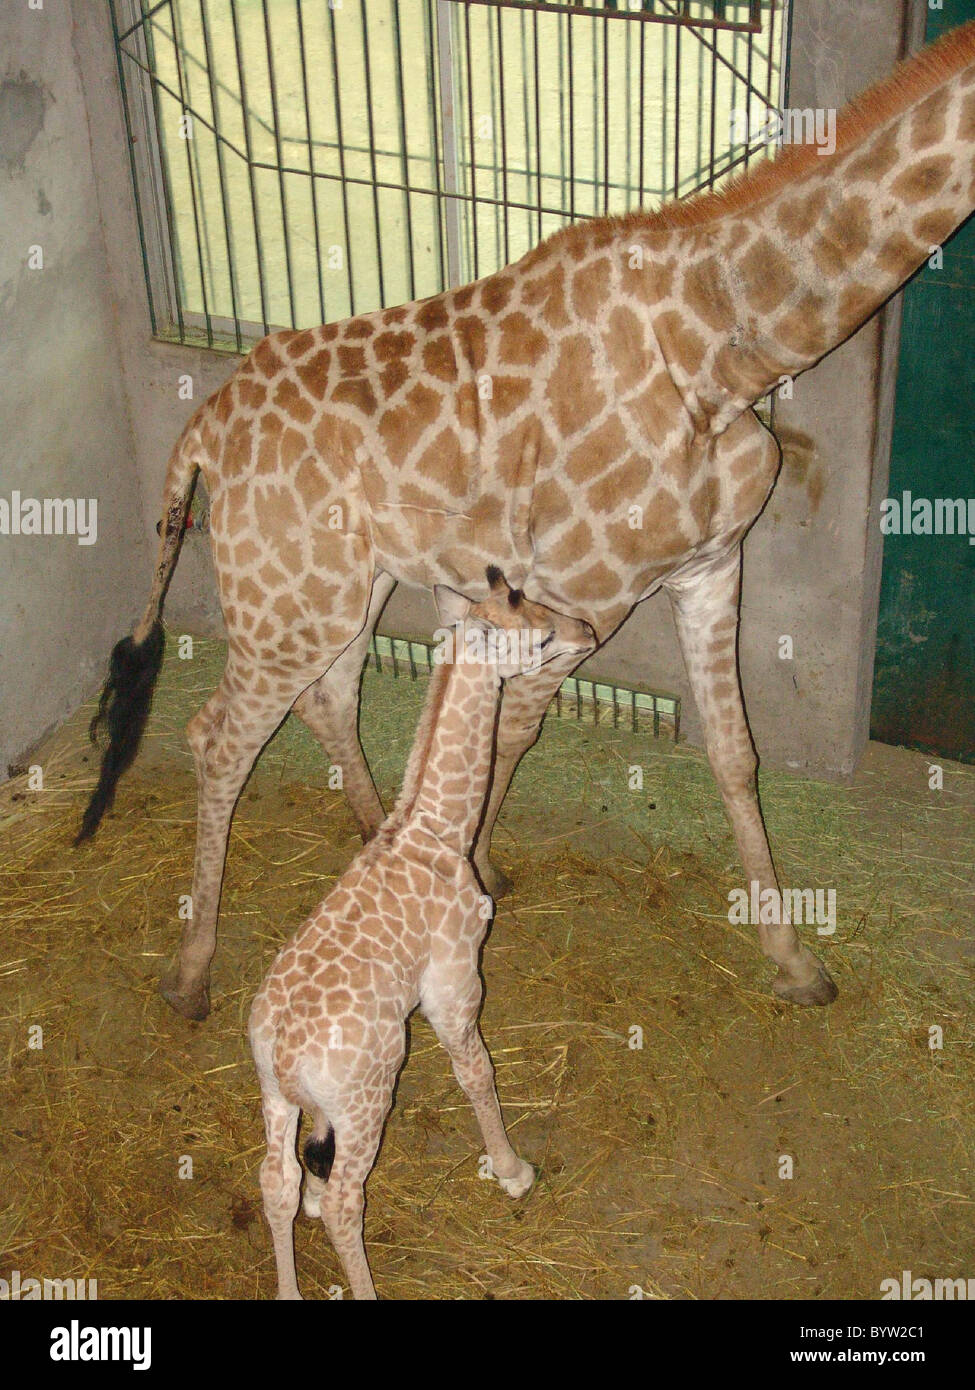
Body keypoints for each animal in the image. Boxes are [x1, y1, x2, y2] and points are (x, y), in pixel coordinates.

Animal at [77, 23, 975, 1021]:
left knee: (329, 696)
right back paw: (191, 973)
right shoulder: (585, 594)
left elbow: (735, 755)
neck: (719, 349)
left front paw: (794, 961)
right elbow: (510, 736)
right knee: (220, 737)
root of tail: (201, 430)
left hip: (342, 588)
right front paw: (475, 872)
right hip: (285, 597)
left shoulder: (708, 568)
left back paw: (369, 839)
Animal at [249, 569, 596, 1300]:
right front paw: (512, 1171)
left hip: (272, 1092)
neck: (434, 829)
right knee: (348, 1201)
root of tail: (287, 1053)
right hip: (366, 1097)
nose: (586, 631)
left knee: (277, 1180)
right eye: (539, 633)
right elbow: (478, 1072)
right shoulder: (454, 986)